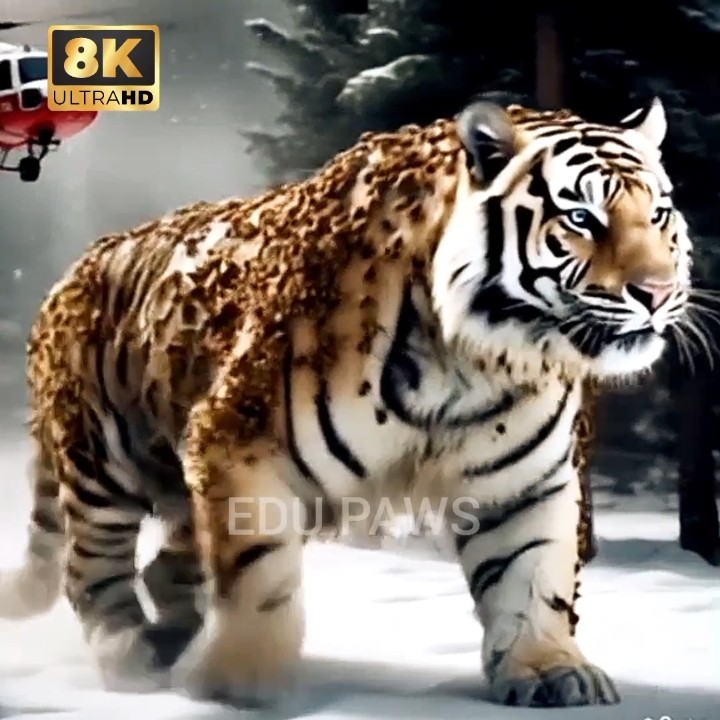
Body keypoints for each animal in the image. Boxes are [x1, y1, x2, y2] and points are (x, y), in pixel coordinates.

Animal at [0, 96, 691, 708]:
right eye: (582, 219)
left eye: (659, 213)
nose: (658, 292)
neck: (479, 363)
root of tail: (72, 273)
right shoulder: (239, 444)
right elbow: (260, 574)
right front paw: (242, 684)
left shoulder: (524, 481)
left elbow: (531, 576)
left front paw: (548, 671)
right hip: (102, 465)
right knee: (93, 572)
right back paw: (132, 658)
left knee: (163, 571)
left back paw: (172, 645)